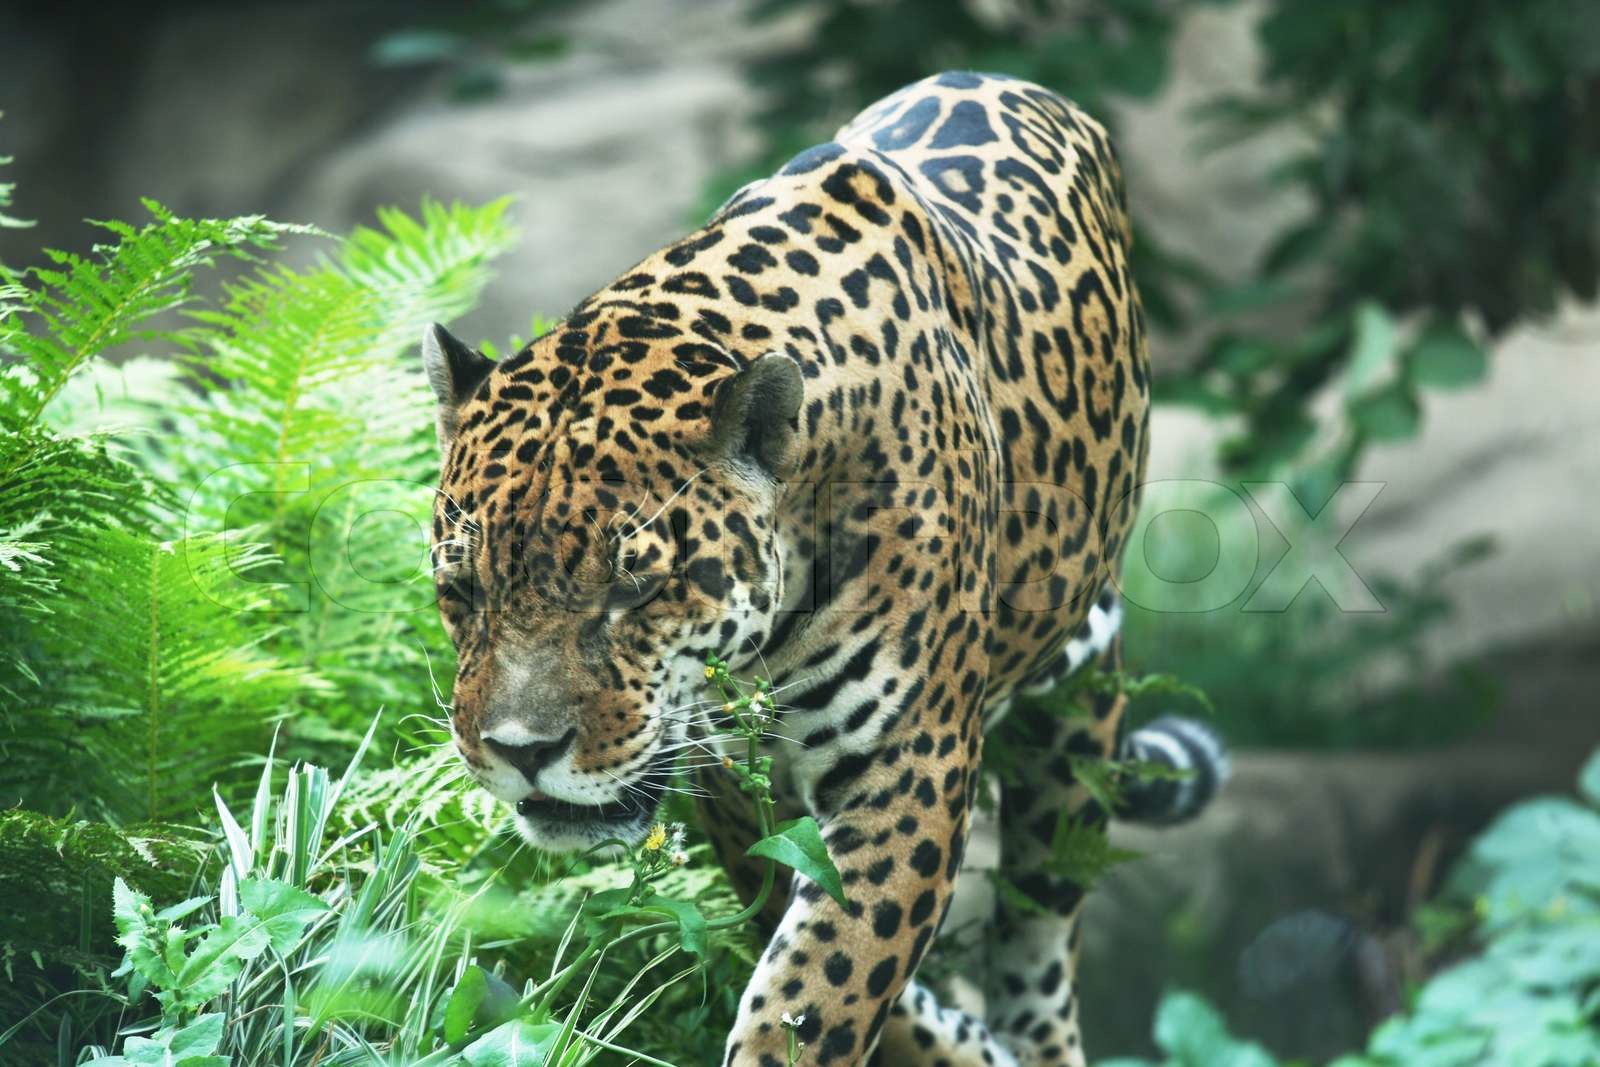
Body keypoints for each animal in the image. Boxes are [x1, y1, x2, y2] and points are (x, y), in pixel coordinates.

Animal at [422, 71, 1228, 1067]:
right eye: (462, 591)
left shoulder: (911, 761)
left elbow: (826, 982)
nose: (521, 753)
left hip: (1077, 716)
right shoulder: (733, 779)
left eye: (636, 589)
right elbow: (811, 937)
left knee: (1041, 941)